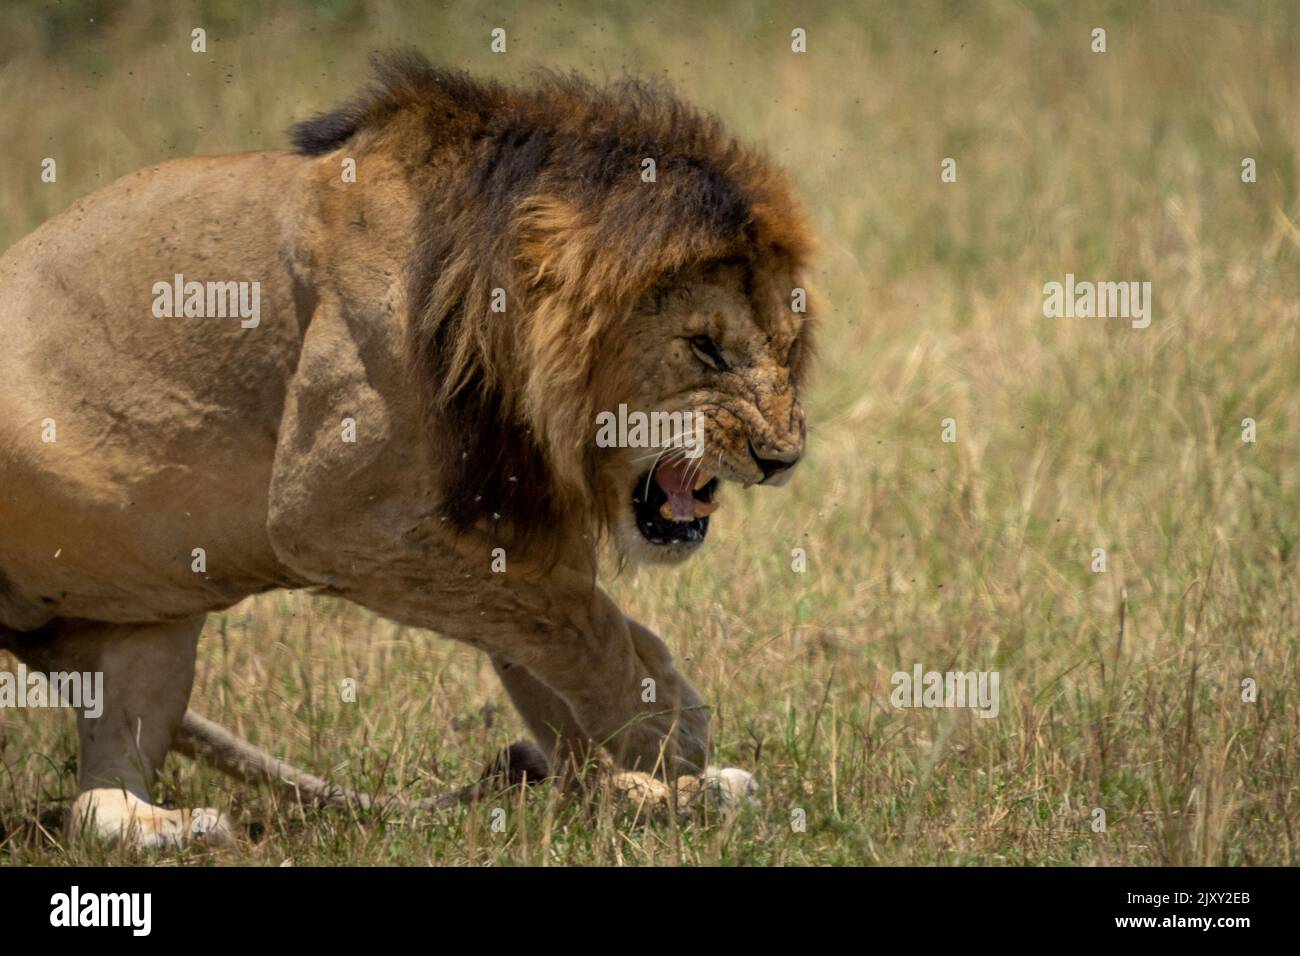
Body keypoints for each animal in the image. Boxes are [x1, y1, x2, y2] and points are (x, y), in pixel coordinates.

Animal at [0, 51, 813, 847]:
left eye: (787, 344)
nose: (783, 459)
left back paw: (181, 828)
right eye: (705, 347)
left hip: (154, 621)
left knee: (97, 808)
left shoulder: (507, 522)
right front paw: (665, 730)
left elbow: (548, 631)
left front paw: (652, 779)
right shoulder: (327, 521)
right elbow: (577, 621)